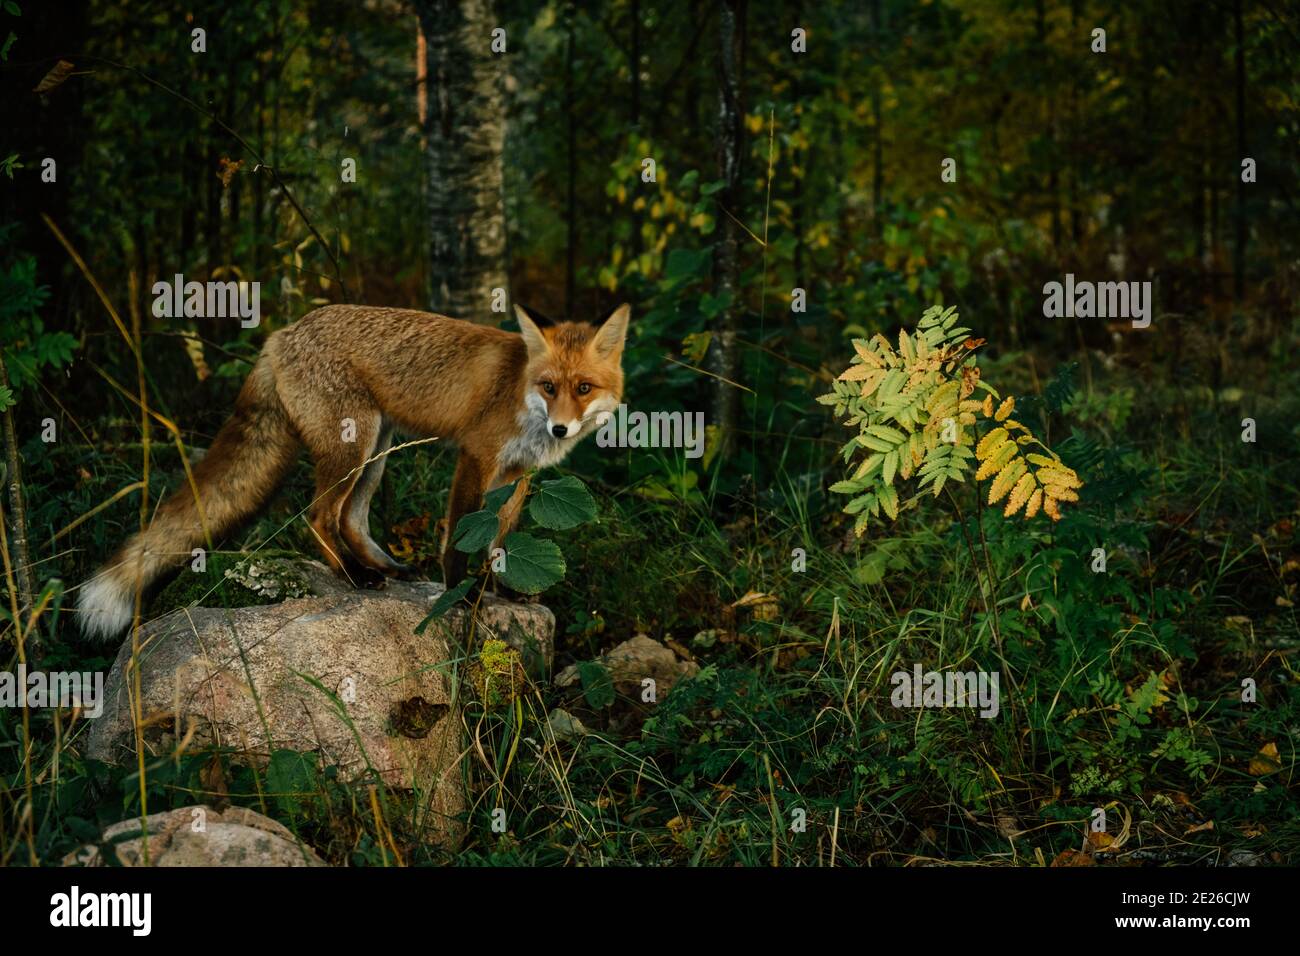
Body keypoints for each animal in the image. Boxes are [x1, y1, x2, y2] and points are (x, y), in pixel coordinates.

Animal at [77, 301, 630, 640]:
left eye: (583, 388)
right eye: (548, 386)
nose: (560, 428)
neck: (518, 390)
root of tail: (282, 333)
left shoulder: (518, 476)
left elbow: (501, 540)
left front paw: (506, 592)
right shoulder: (476, 458)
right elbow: (459, 538)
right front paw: (463, 596)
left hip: (377, 451)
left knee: (351, 518)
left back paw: (383, 568)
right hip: (353, 446)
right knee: (319, 516)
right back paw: (352, 576)